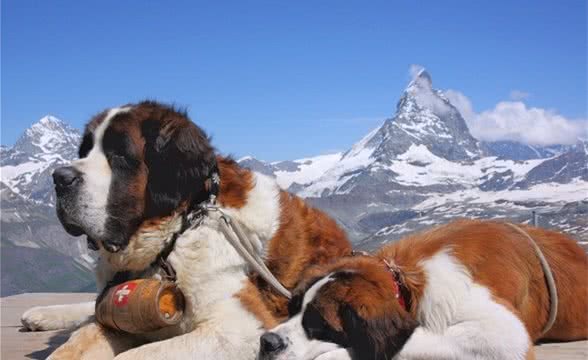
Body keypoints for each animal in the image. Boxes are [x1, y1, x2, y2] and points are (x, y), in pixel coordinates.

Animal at [21, 101, 354, 360]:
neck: (179, 231)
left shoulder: (243, 328)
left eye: (119, 156)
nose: (59, 178)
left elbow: (135, 354)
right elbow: (82, 337)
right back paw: (42, 314)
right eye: (85, 150)